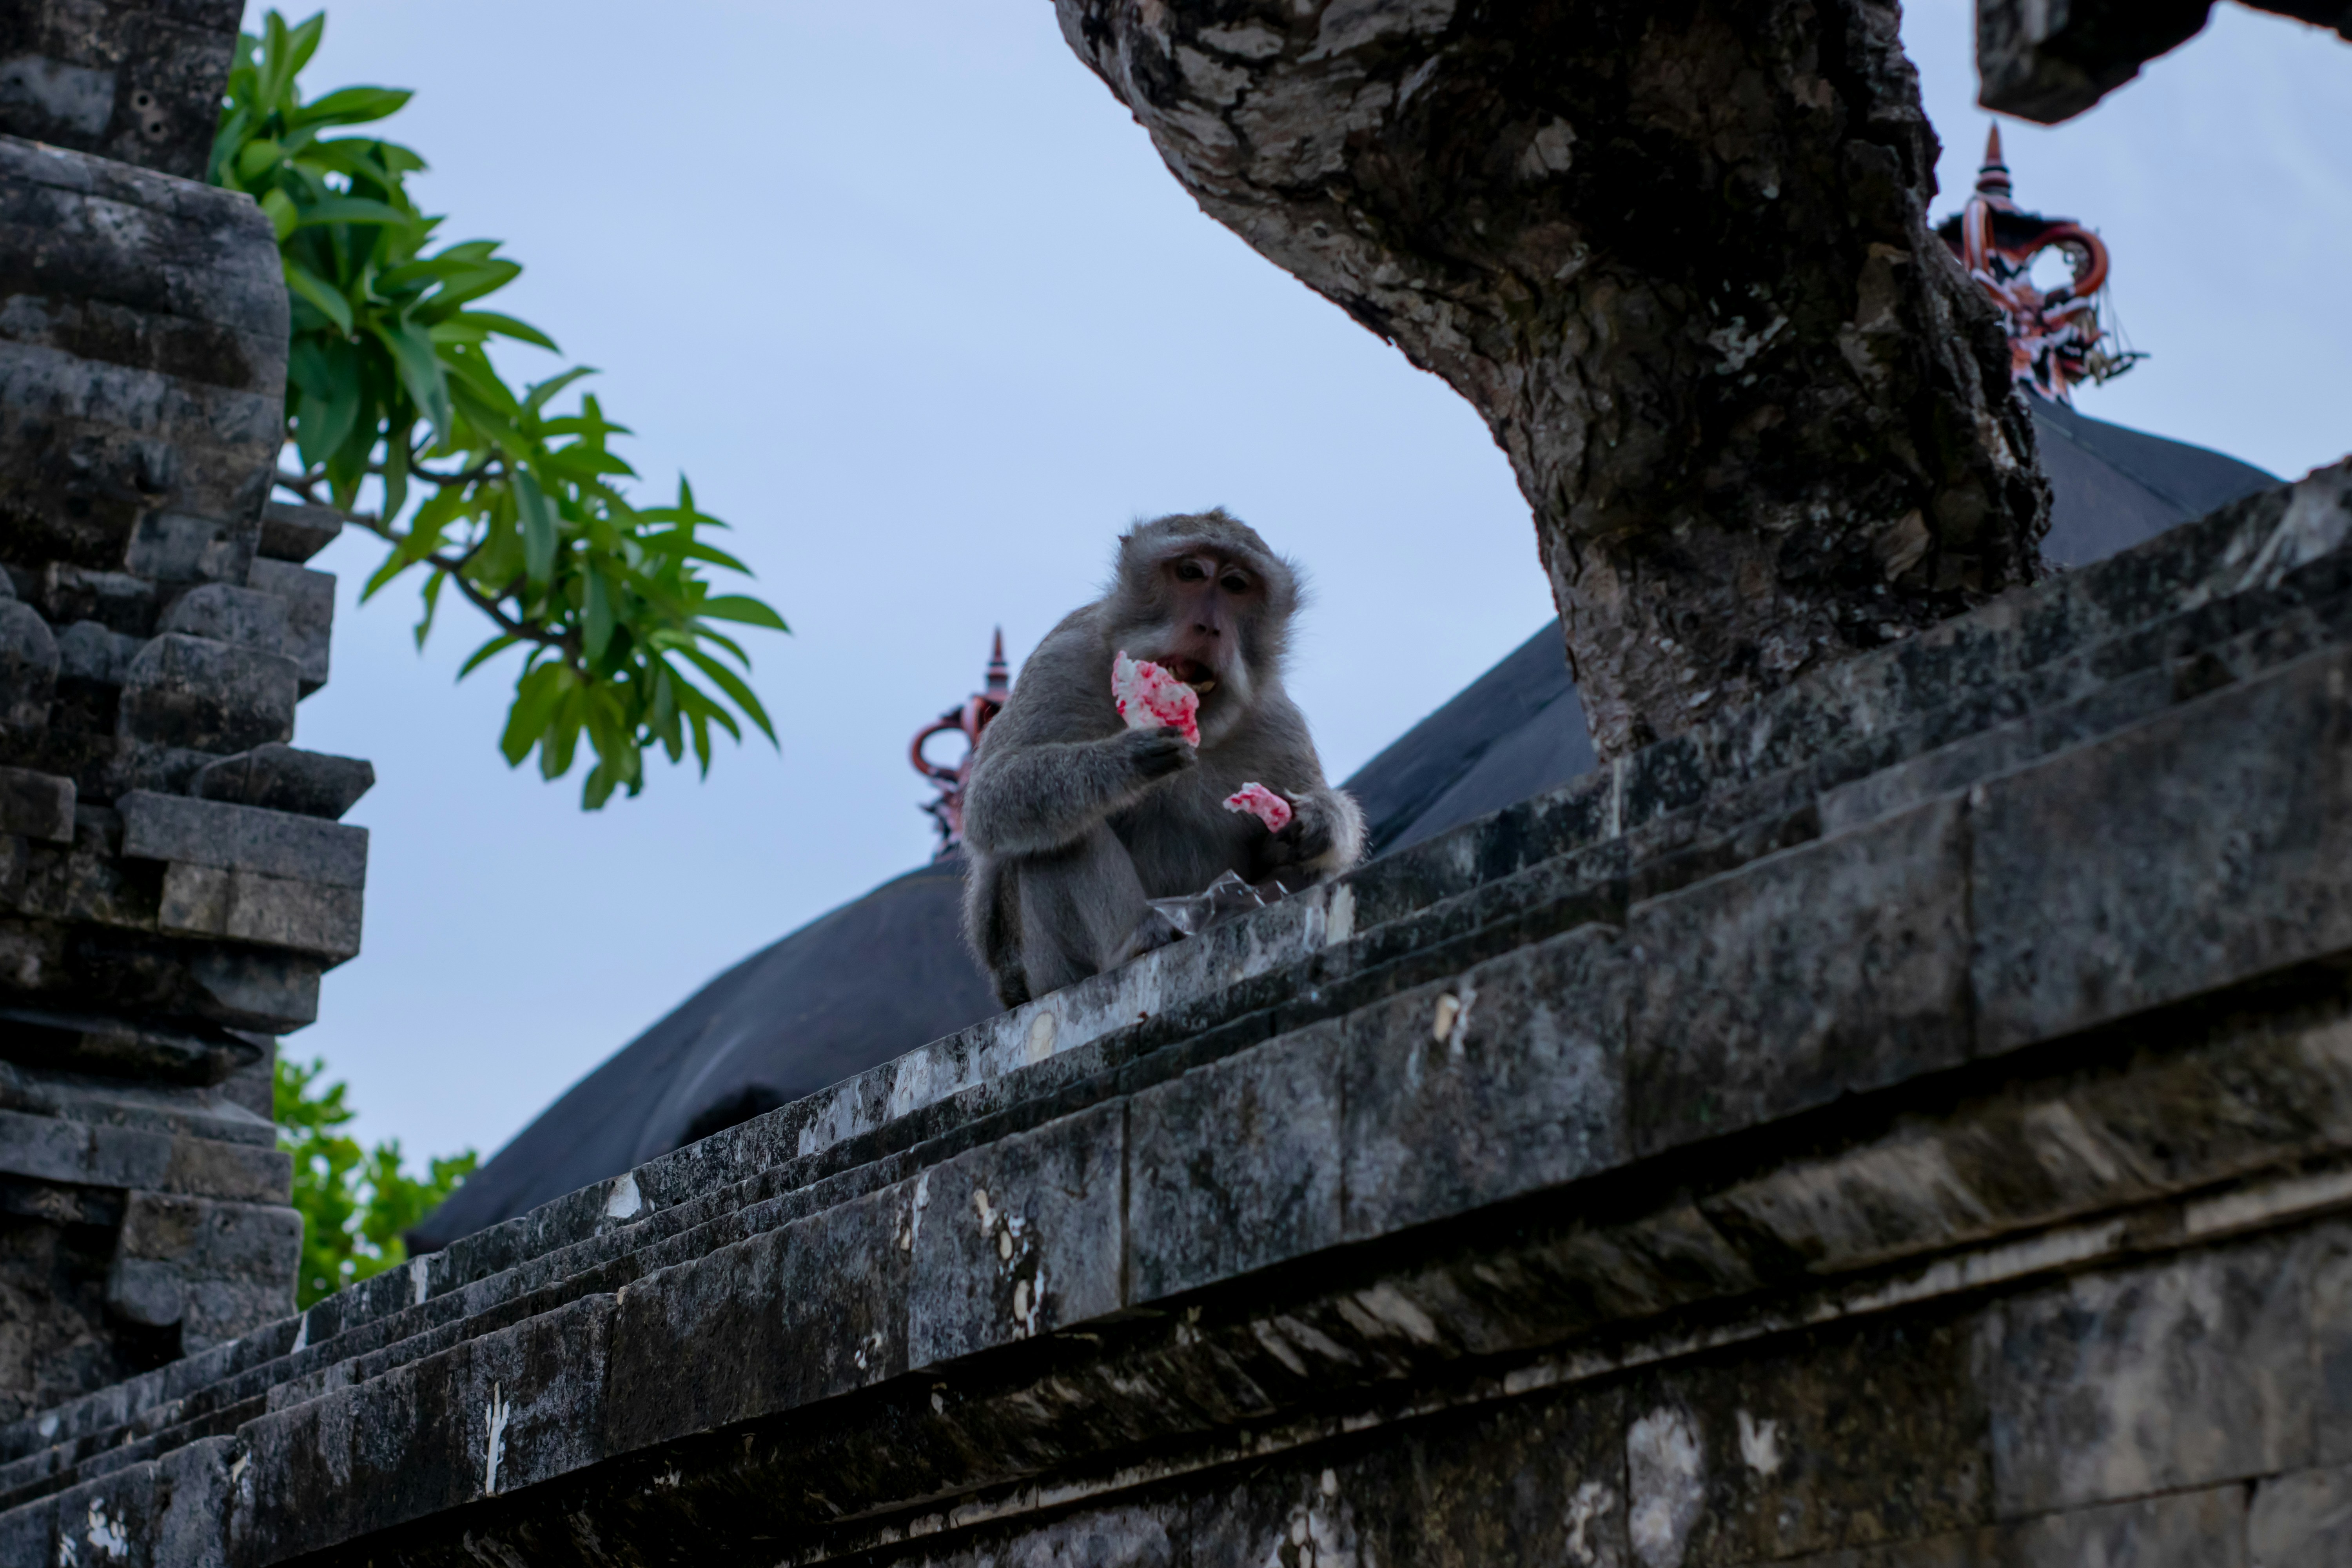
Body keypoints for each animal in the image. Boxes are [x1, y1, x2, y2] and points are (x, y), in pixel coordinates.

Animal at [960, 509, 1366, 1009]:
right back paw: (1135, 940)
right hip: (1044, 971)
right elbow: (991, 800)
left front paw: (1317, 820)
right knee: (1055, 835)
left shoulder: (1279, 720)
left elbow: (1310, 851)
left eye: (1235, 584)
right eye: (1190, 573)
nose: (1209, 627)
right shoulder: (1061, 661)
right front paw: (1126, 759)